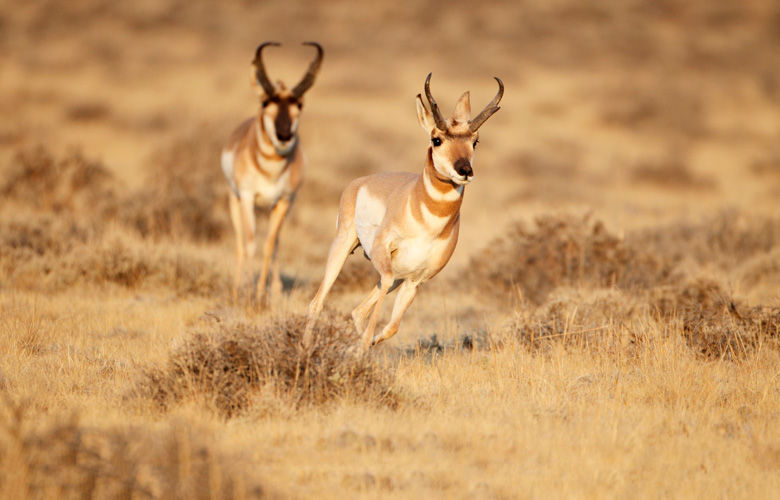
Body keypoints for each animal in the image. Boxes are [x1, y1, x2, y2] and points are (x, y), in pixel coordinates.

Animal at [222, 41, 323, 304]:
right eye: (265, 102)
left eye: (299, 105)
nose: (284, 135)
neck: (271, 170)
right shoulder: (247, 198)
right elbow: (250, 244)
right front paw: (248, 293)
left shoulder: (284, 201)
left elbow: (269, 245)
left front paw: (260, 294)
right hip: (235, 201)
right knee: (240, 243)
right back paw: (236, 289)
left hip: (275, 208)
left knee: (276, 242)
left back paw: (275, 289)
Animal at [305, 73, 503, 350]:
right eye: (437, 139)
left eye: (475, 141)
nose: (464, 170)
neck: (427, 222)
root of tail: (361, 181)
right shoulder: (385, 260)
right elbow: (378, 318)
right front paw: (359, 347)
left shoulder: (414, 281)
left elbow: (391, 328)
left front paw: (362, 346)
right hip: (343, 248)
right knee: (317, 303)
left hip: (397, 275)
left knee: (358, 311)